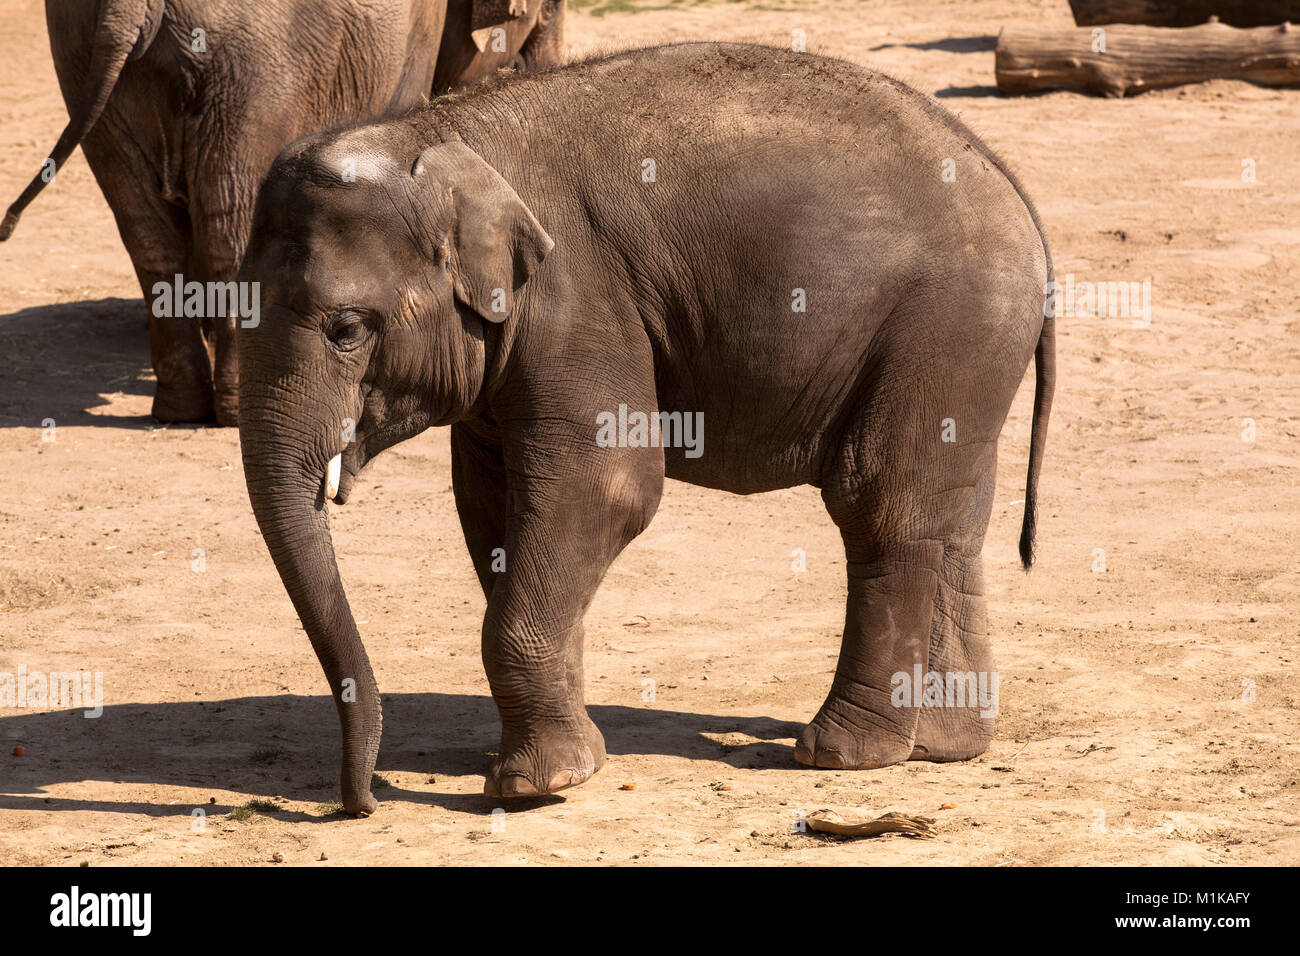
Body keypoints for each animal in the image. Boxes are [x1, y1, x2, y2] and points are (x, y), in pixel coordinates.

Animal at [0, 0, 564, 426]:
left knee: (147, 230)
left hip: (84, 55)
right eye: (550, 12)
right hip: (260, 69)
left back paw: (180, 410)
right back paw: (228, 412)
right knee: (229, 225)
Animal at [235, 42, 1055, 816]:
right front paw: (574, 761)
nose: (362, 802)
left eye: (346, 328)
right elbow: (494, 506)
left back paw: (840, 754)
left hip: (944, 321)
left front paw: (532, 787)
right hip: (968, 348)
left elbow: (607, 489)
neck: (441, 131)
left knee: (880, 502)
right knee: (954, 517)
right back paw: (943, 747)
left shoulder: (577, 298)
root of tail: (1012, 186)